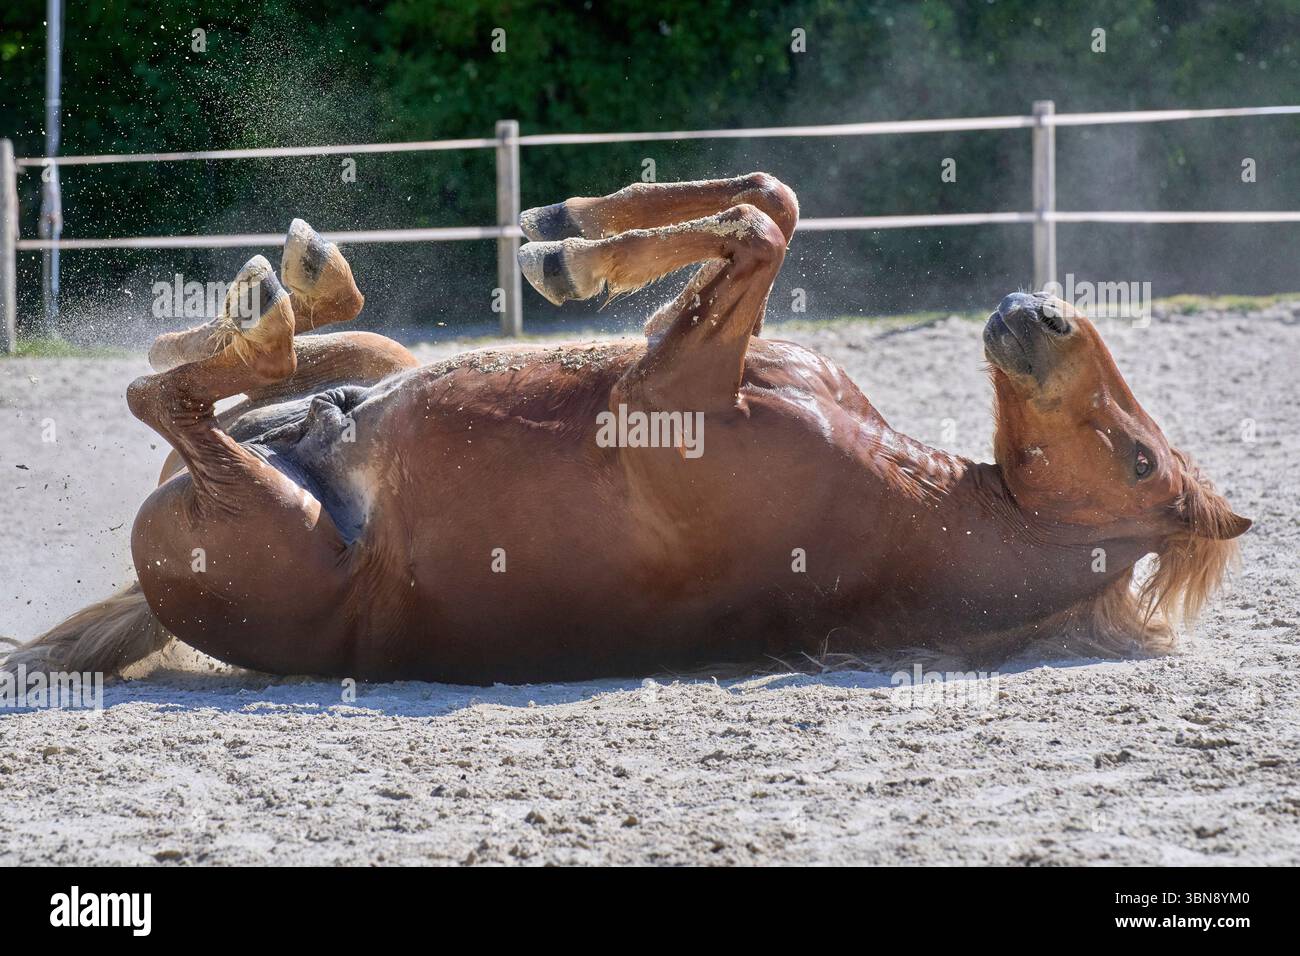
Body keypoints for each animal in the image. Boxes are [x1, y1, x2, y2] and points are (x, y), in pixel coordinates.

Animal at [2, 173, 1250, 685]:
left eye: (1139, 457)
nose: (1043, 310)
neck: (906, 505)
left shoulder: (661, 392)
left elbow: (758, 227)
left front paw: (570, 257)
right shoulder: (679, 351)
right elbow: (771, 202)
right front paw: (566, 228)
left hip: (263, 514)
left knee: (172, 402)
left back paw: (274, 306)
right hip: (373, 369)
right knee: (297, 360)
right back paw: (287, 309)